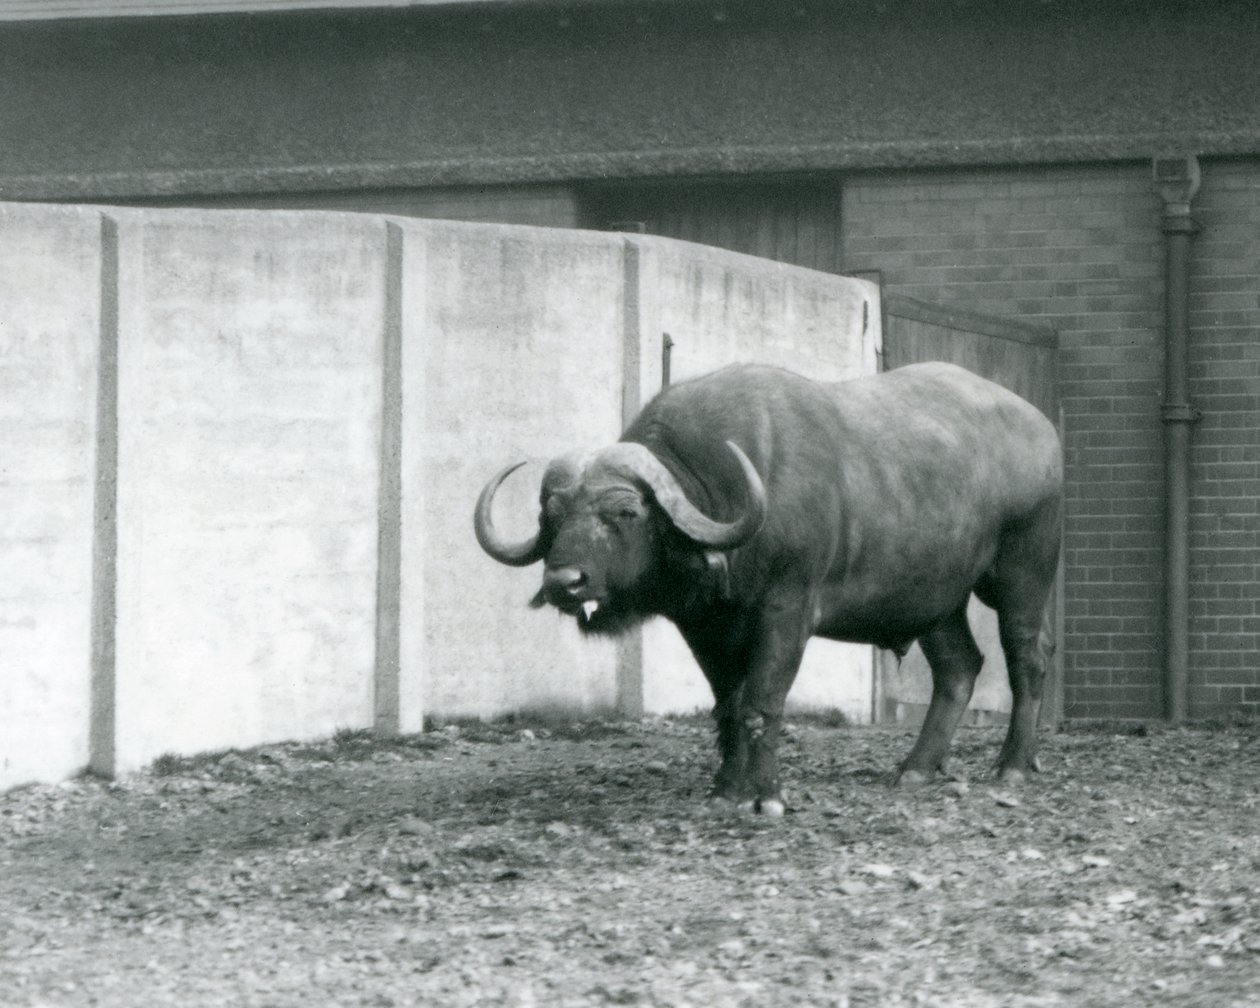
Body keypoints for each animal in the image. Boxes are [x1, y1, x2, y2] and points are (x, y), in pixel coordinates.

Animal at [474, 362, 1063, 815]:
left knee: (1027, 657)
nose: (564, 582)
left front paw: (767, 796)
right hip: (936, 601)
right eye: (552, 514)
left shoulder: (787, 611)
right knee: (959, 667)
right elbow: (728, 707)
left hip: (1021, 575)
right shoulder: (705, 626)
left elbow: (761, 700)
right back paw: (917, 768)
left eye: (625, 511)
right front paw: (726, 790)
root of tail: (1044, 431)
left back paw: (1012, 766)